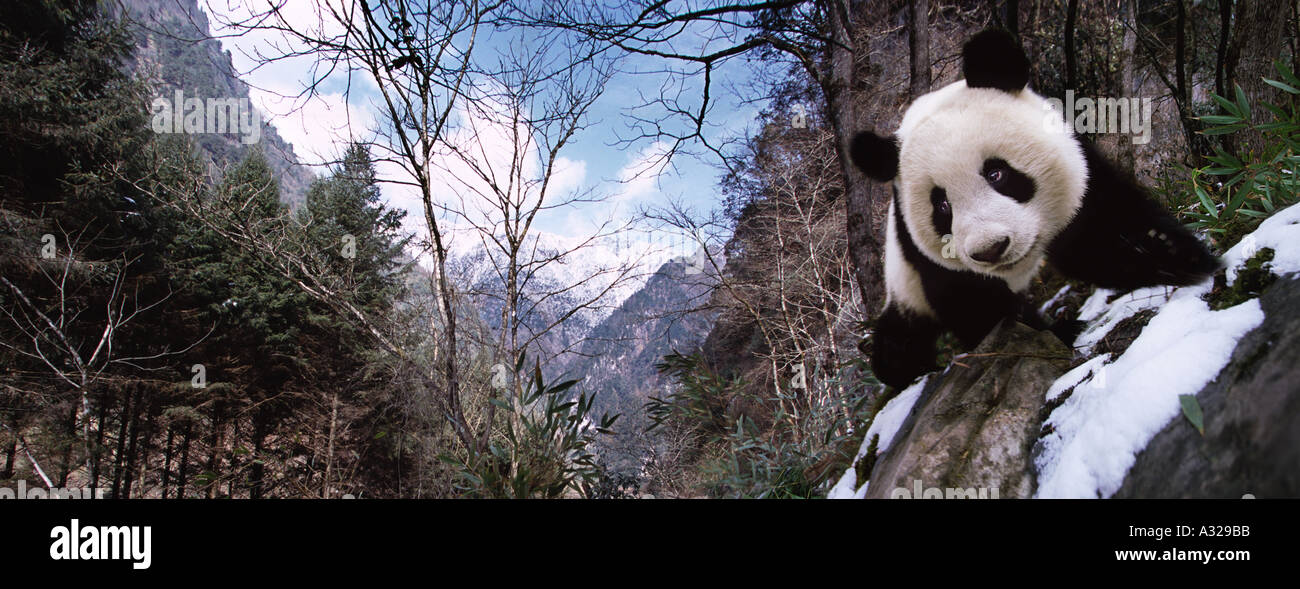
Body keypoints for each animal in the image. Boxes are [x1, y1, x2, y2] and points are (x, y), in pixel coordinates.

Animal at [851, 29, 1220, 389]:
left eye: (996, 173)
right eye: (941, 205)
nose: (991, 249)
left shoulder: (1079, 173)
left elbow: (1101, 235)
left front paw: (1182, 258)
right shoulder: (921, 250)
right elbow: (971, 301)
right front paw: (1052, 333)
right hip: (905, 287)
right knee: (900, 340)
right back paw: (903, 368)